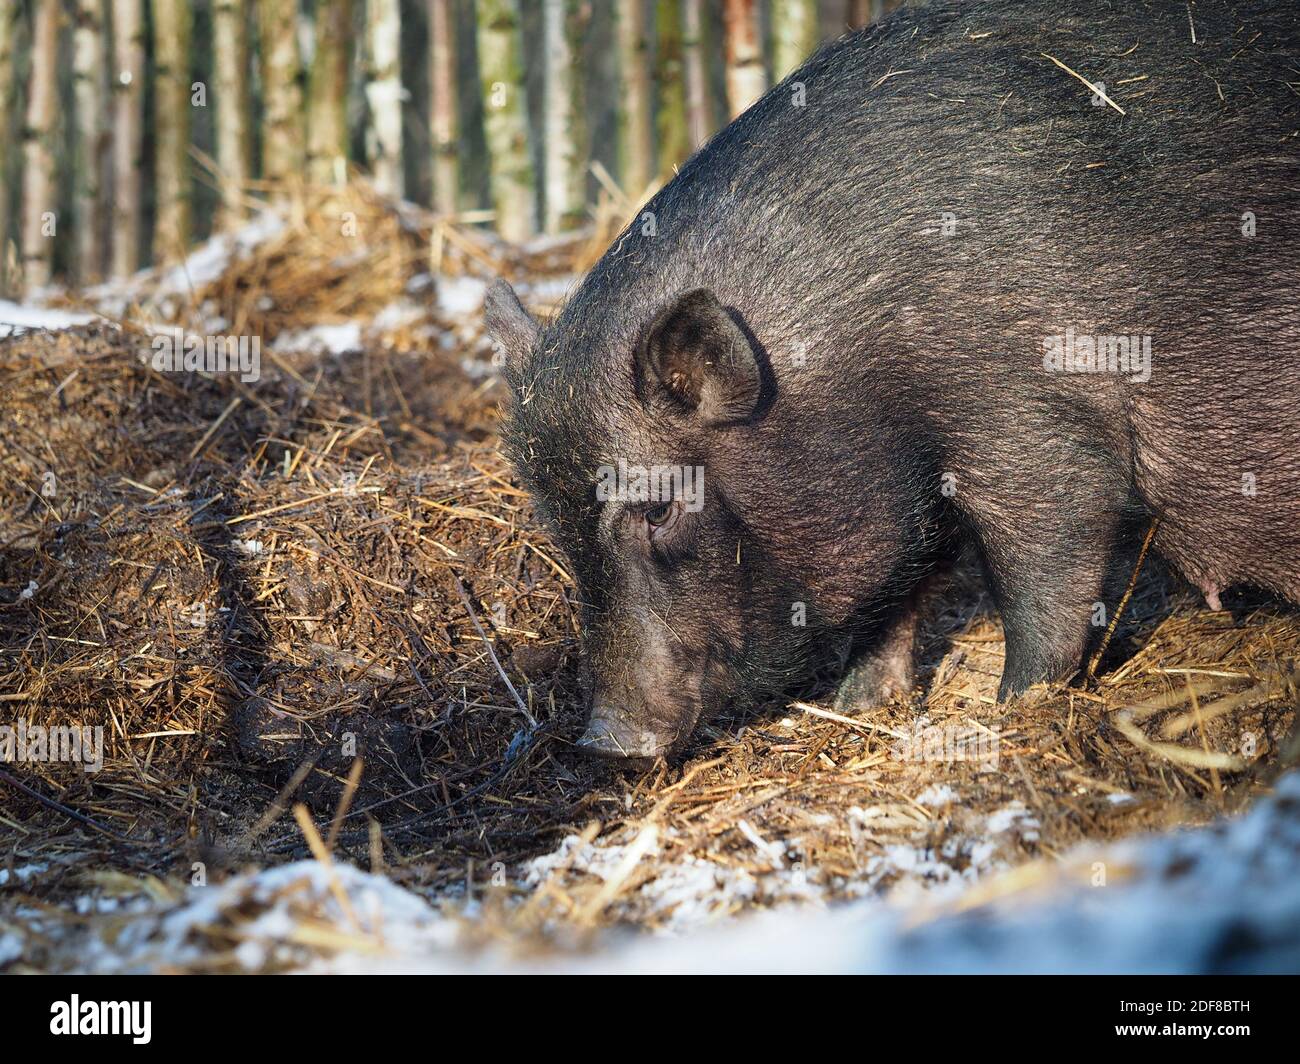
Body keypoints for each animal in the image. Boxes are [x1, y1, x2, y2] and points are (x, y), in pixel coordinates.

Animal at [485, 0, 1300, 759]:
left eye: (657, 508)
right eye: (553, 519)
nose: (606, 741)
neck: (858, 362)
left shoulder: (1039, 432)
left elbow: (1045, 579)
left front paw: (1008, 711)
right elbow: (897, 593)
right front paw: (860, 704)